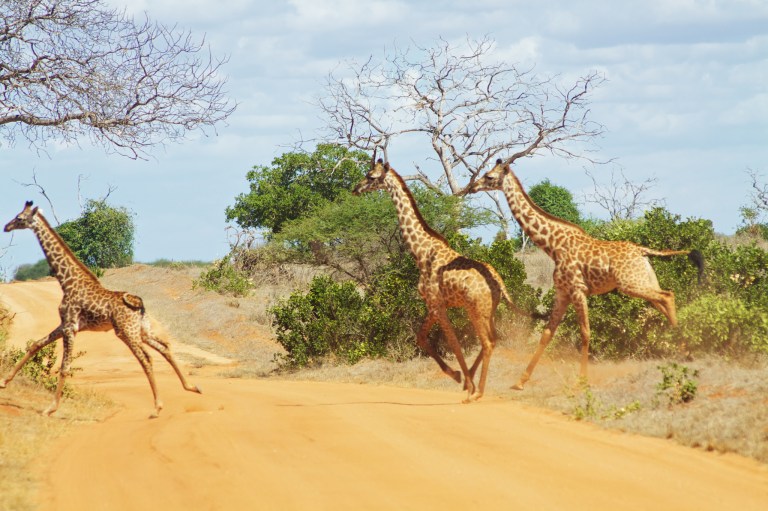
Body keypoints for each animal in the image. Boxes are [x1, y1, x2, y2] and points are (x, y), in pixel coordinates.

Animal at [1, 201, 202, 418]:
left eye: (20, 218)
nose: (6, 227)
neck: (66, 281)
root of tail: (139, 304)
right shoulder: (66, 324)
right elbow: (35, 345)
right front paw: (4, 382)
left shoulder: (70, 327)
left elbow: (64, 367)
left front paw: (50, 408)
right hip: (142, 330)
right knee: (164, 348)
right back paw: (192, 387)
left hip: (126, 332)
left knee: (146, 359)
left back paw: (157, 408)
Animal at [354, 158, 517, 402]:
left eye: (371, 176)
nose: (356, 188)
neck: (421, 252)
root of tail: (498, 281)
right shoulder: (432, 306)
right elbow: (421, 338)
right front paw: (459, 376)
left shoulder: (437, 305)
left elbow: (454, 344)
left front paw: (464, 380)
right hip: (489, 310)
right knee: (494, 339)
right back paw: (472, 383)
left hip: (477, 309)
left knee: (488, 342)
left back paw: (476, 392)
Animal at [462, 160, 703, 389]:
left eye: (489, 176)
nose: (472, 187)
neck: (553, 245)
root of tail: (643, 251)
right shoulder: (562, 292)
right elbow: (547, 333)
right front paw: (521, 381)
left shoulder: (578, 290)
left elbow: (585, 332)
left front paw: (581, 380)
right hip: (644, 281)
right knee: (664, 300)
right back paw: (686, 351)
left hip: (631, 285)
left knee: (668, 296)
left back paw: (686, 350)